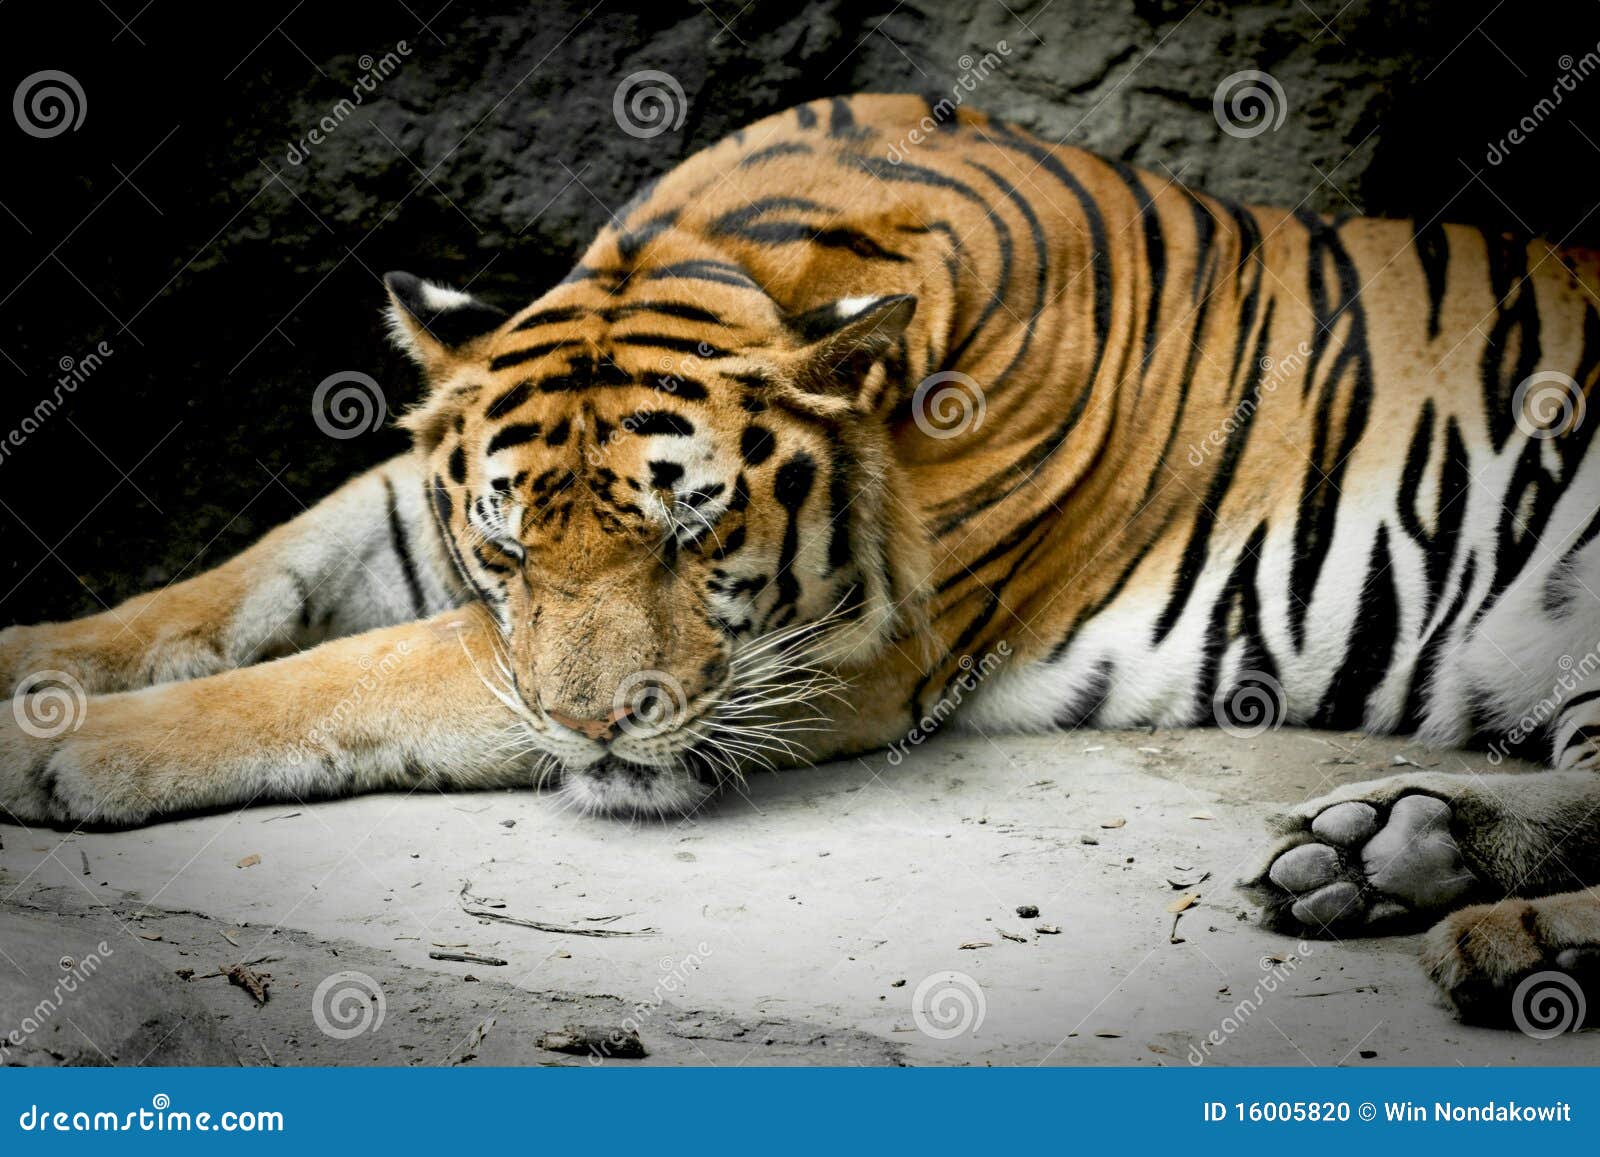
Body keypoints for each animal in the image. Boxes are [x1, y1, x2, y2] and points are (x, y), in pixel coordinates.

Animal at [3, 93, 1599, 1029]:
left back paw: (1507, 941)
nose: (601, 730)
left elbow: (359, 669)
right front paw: (35, 662)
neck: (743, 249)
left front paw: (57, 748)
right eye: (506, 547)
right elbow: (257, 572)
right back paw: (1389, 852)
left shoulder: (855, 655)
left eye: (694, 531)